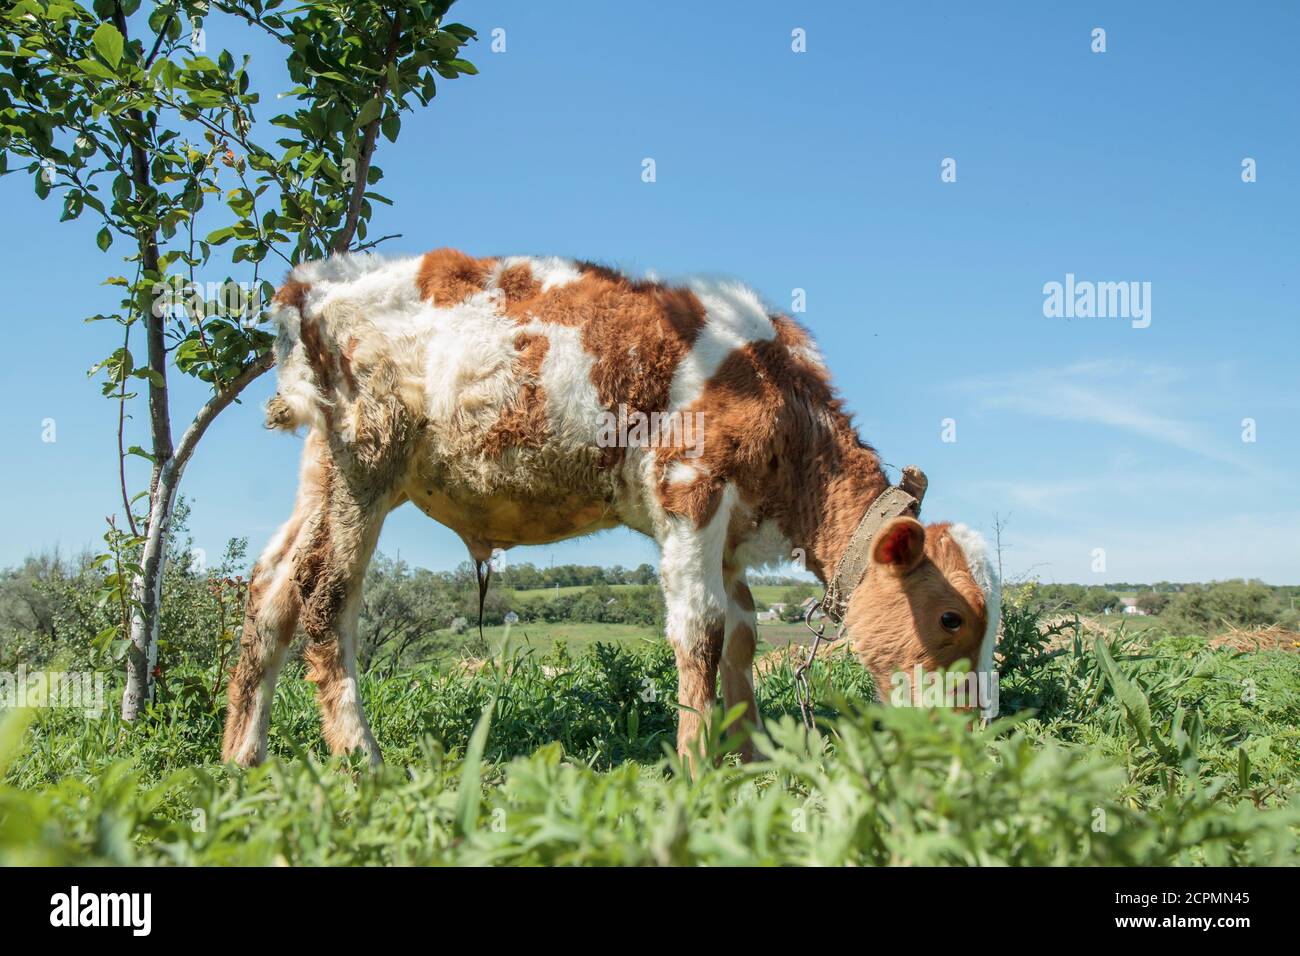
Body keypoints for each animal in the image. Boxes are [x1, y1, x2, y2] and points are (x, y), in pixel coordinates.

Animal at [221, 249, 999, 769]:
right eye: (950, 619)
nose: (975, 732)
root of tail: (312, 282)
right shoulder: (689, 491)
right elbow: (702, 631)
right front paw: (696, 763)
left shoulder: (729, 534)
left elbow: (744, 634)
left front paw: (751, 757)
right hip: (366, 456)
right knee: (326, 597)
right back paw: (364, 762)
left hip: (323, 466)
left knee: (271, 589)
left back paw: (242, 758)